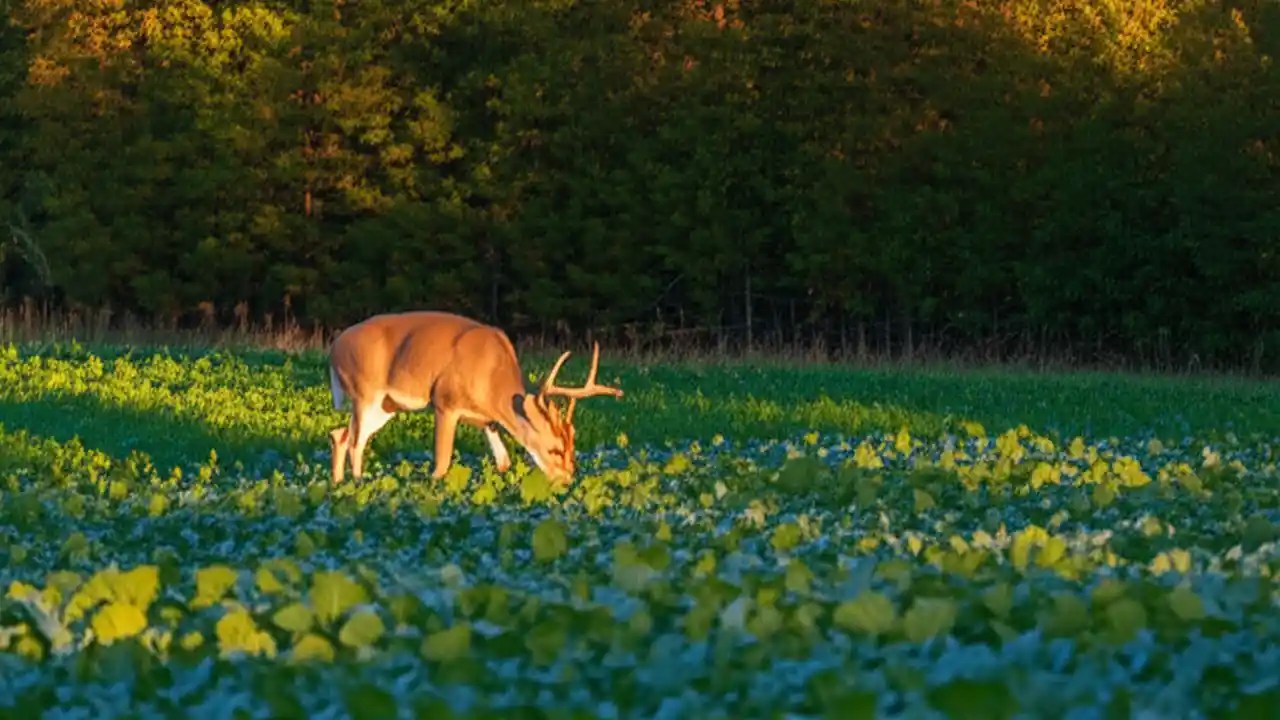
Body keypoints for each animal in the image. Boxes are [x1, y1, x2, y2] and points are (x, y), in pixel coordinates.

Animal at [325, 311, 623, 486]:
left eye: (573, 448)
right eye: (555, 450)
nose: (568, 481)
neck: (492, 379)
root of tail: (334, 347)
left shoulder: (487, 420)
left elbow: (503, 462)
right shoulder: (444, 403)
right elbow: (442, 463)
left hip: (386, 406)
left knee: (340, 434)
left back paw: (338, 485)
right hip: (365, 392)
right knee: (355, 442)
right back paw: (358, 486)